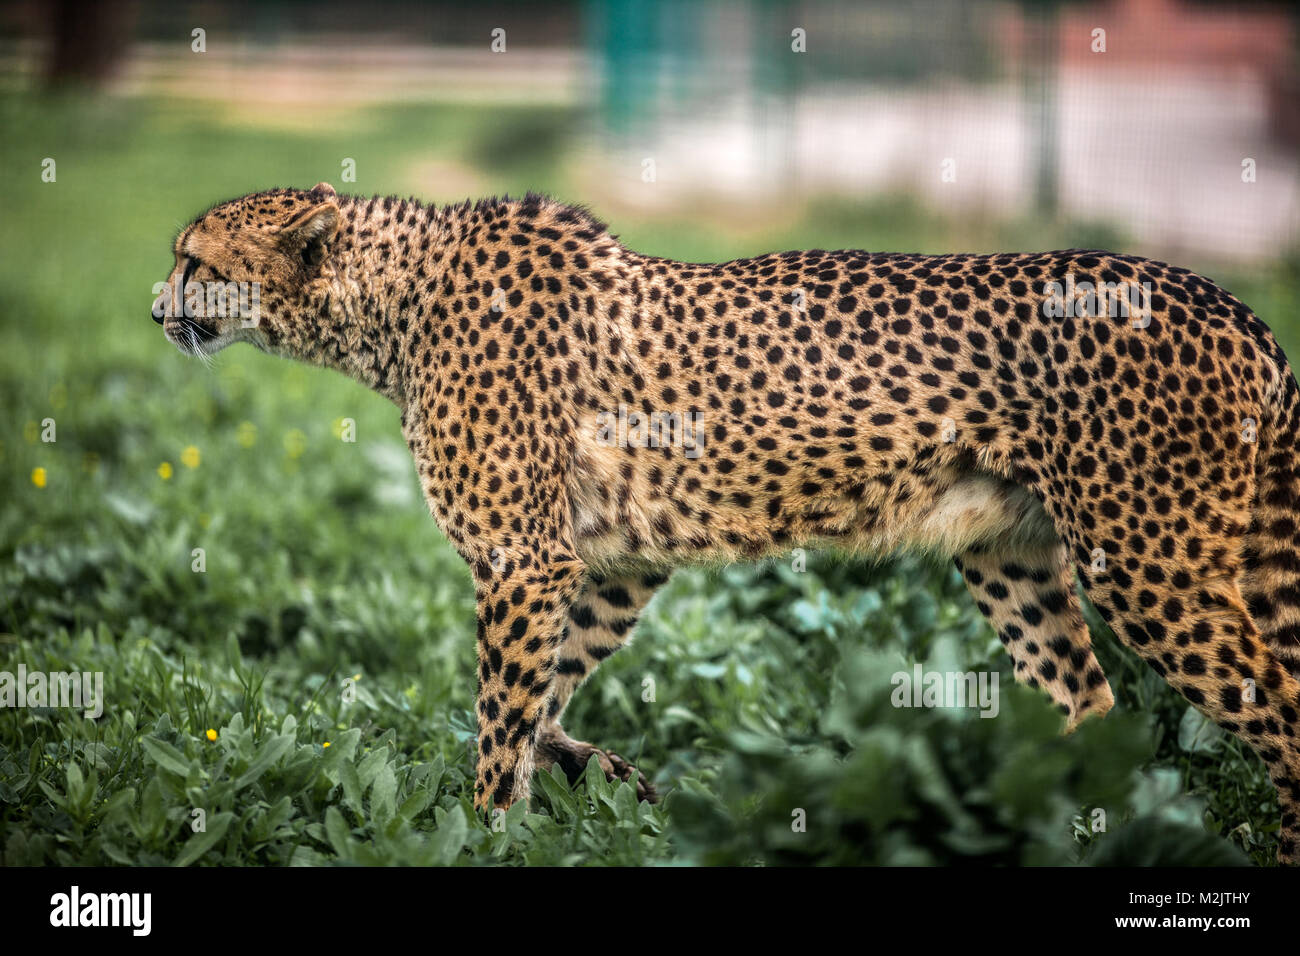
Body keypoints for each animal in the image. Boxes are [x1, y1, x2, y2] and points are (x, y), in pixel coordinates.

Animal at [153, 181, 1300, 863]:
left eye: (195, 260)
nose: (157, 307)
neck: (393, 303)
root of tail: (1228, 302)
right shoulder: (609, 559)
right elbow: (542, 692)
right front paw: (586, 775)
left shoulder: (525, 559)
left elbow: (499, 713)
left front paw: (484, 829)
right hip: (1009, 553)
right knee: (1094, 708)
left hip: (1150, 561)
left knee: (1278, 705)